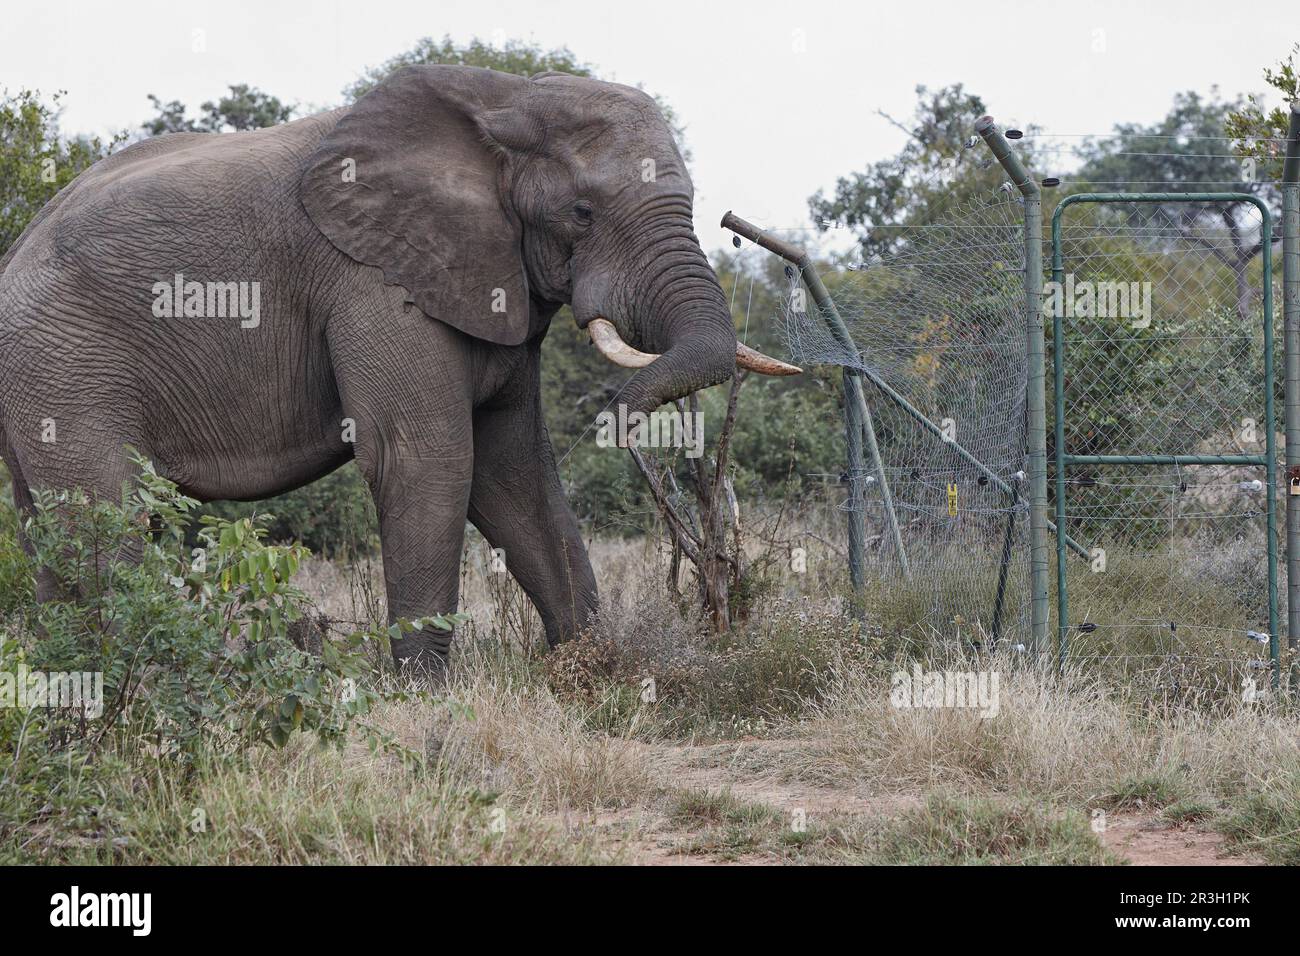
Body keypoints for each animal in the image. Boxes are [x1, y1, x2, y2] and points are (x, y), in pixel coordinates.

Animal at [0, 65, 796, 674]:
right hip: (64, 360)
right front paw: (424, 698)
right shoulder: (371, 281)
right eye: (580, 212)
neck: (505, 99)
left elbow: (515, 471)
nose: (621, 421)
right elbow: (424, 457)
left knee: (50, 536)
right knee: (106, 517)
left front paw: (589, 670)